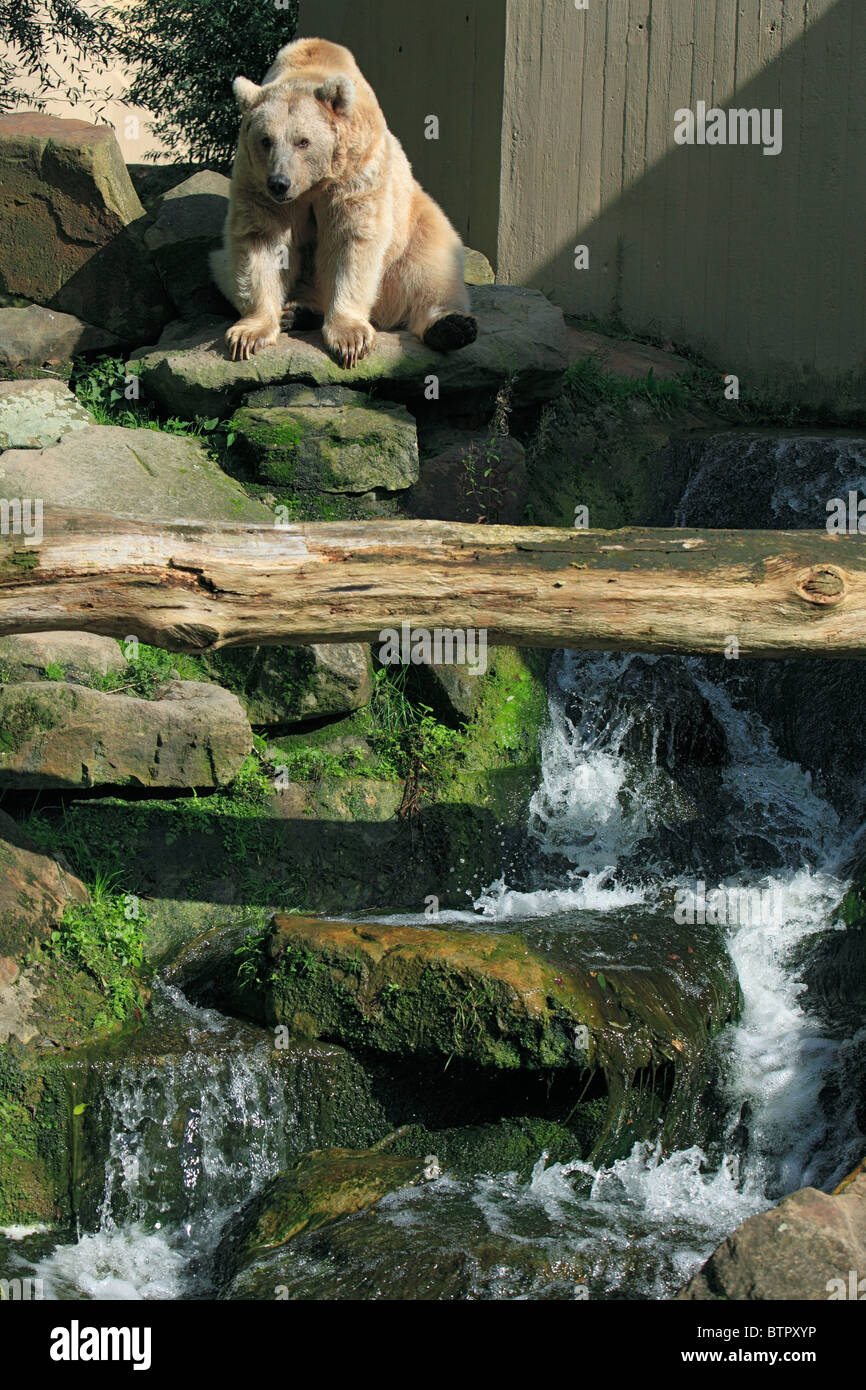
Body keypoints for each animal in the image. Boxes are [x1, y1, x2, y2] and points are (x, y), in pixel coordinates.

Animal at [210, 37, 479, 367]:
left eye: (303, 141)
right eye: (266, 140)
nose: (280, 182)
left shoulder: (355, 168)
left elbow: (350, 238)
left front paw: (350, 339)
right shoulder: (256, 184)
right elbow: (263, 241)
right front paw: (248, 334)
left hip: (416, 230)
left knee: (433, 271)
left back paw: (452, 327)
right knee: (223, 264)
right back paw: (298, 312)